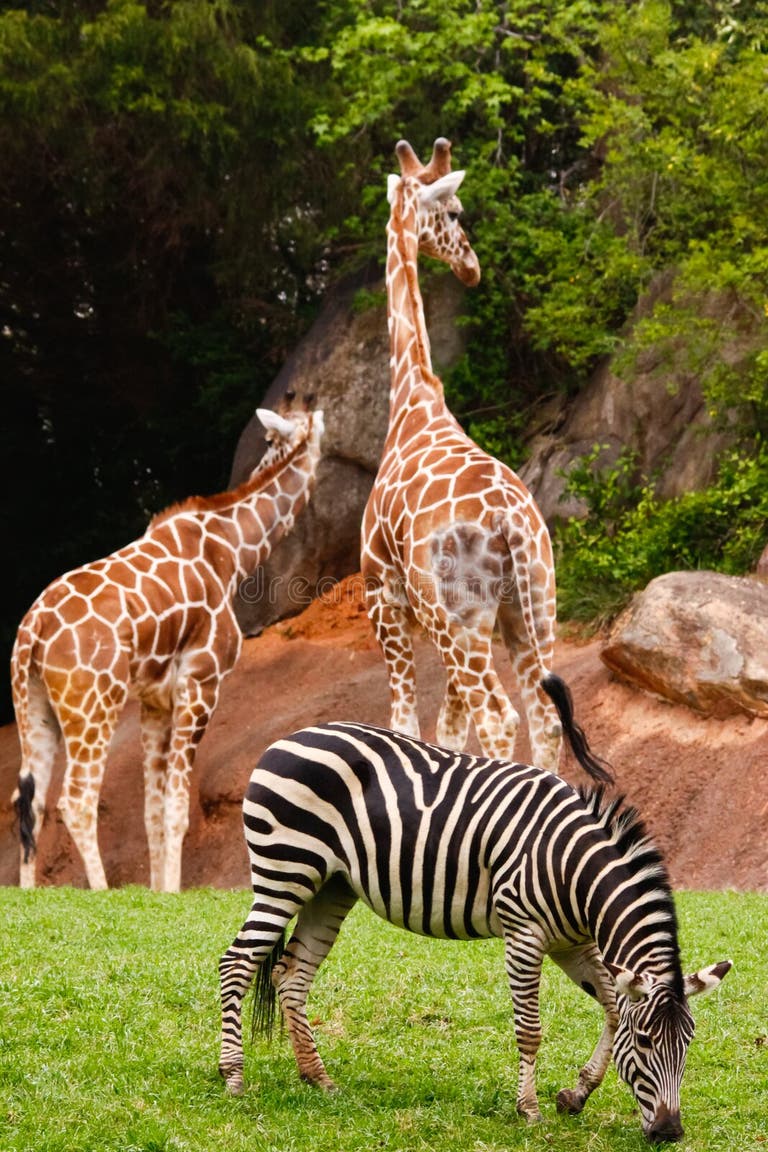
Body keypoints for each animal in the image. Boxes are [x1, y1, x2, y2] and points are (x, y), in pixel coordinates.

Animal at [218, 720, 731, 1142]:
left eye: (688, 1043)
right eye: (645, 1043)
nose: (669, 1133)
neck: (575, 872)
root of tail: (287, 737)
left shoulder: (574, 945)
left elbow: (610, 1008)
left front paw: (576, 1094)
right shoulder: (525, 934)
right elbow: (530, 1029)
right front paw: (529, 1109)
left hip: (330, 886)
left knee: (292, 974)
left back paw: (317, 1077)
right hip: (285, 871)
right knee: (236, 962)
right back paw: (233, 1076)